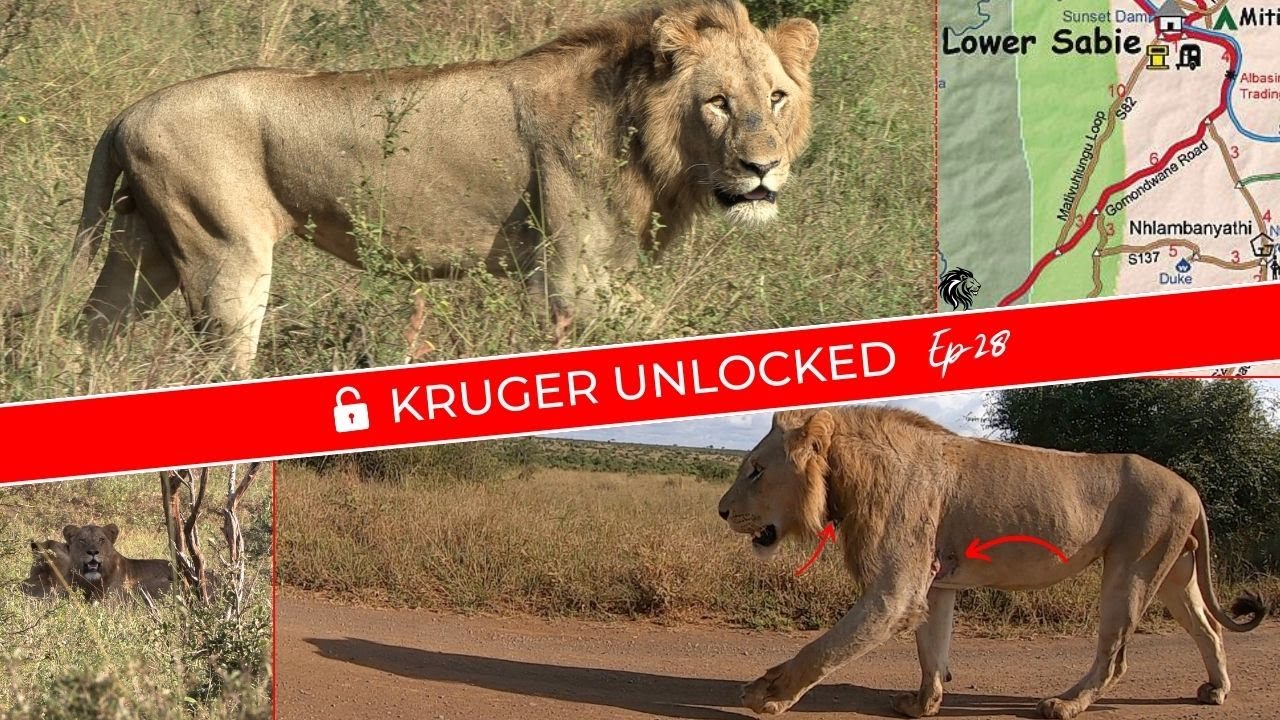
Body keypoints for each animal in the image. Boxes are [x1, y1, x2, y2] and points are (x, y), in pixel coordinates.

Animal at [36, 0, 818, 373]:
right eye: (718, 102)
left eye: (776, 97)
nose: (763, 168)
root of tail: (126, 113)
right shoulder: (572, 282)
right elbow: (679, 331)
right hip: (224, 254)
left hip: (144, 249)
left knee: (91, 331)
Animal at [718, 406, 1267, 720]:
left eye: (757, 470)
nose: (721, 511)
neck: (847, 474)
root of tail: (1192, 490)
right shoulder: (935, 584)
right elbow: (931, 651)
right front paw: (923, 705)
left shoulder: (895, 591)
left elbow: (824, 648)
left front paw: (767, 694)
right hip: (1173, 574)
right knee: (1208, 631)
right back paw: (1216, 690)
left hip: (1131, 568)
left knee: (1116, 657)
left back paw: (1065, 704)